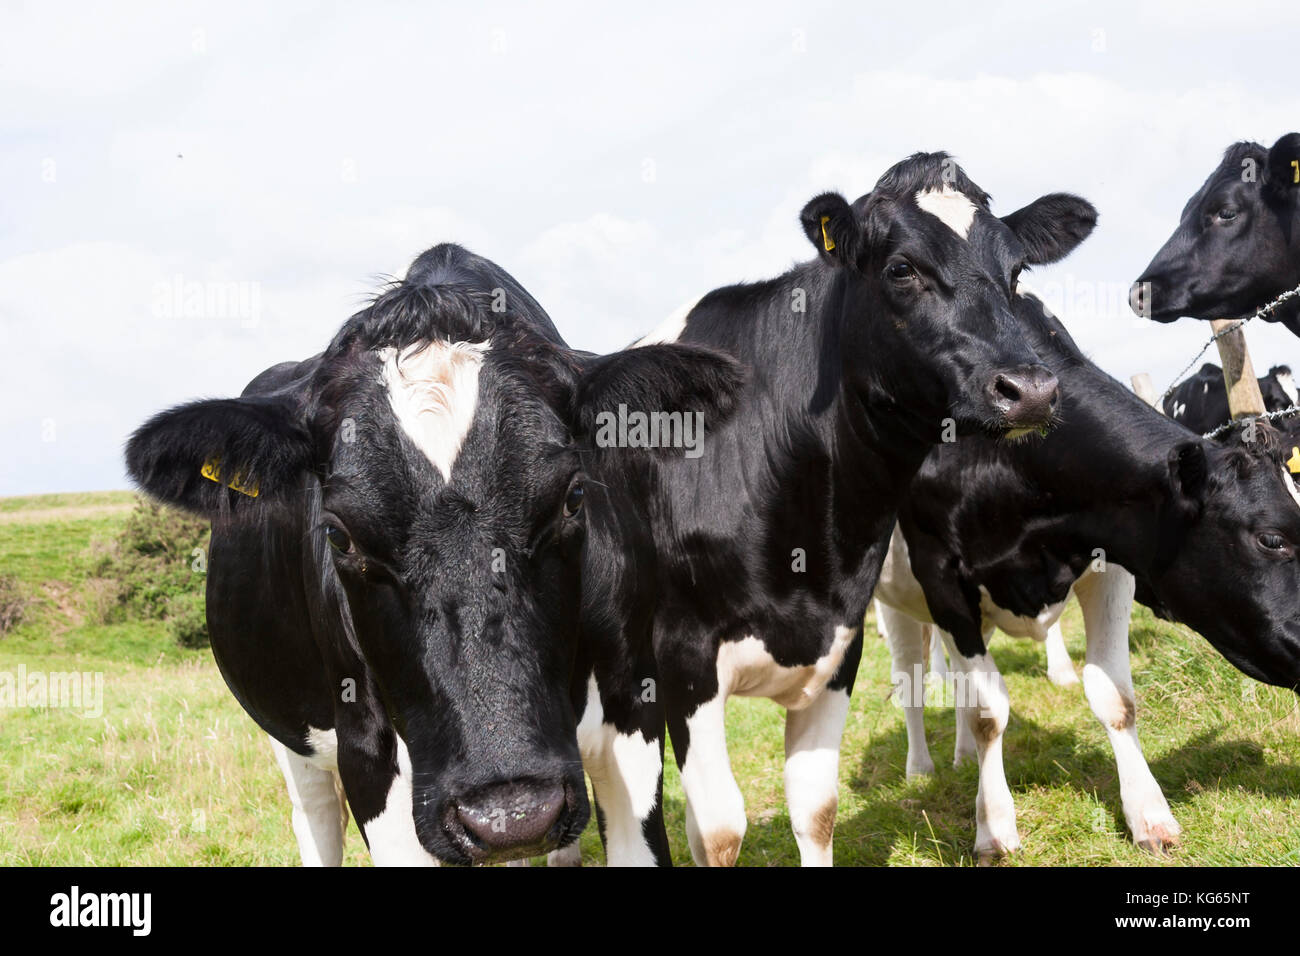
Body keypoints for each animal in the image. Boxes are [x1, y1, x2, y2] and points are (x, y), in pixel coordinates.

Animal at [125, 243, 745, 866]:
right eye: (338, 535)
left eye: (573, 497)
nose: (510, 815)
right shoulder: (367, 752)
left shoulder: (634, 709)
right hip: (292, 735)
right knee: (316, 818)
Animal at [573, 152, 1098, 866]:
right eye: (901, 269)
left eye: (1017, 270)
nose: (1032, 390)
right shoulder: (682, 662)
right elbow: (720, 830)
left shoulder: (840, 645)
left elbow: (816, 810)